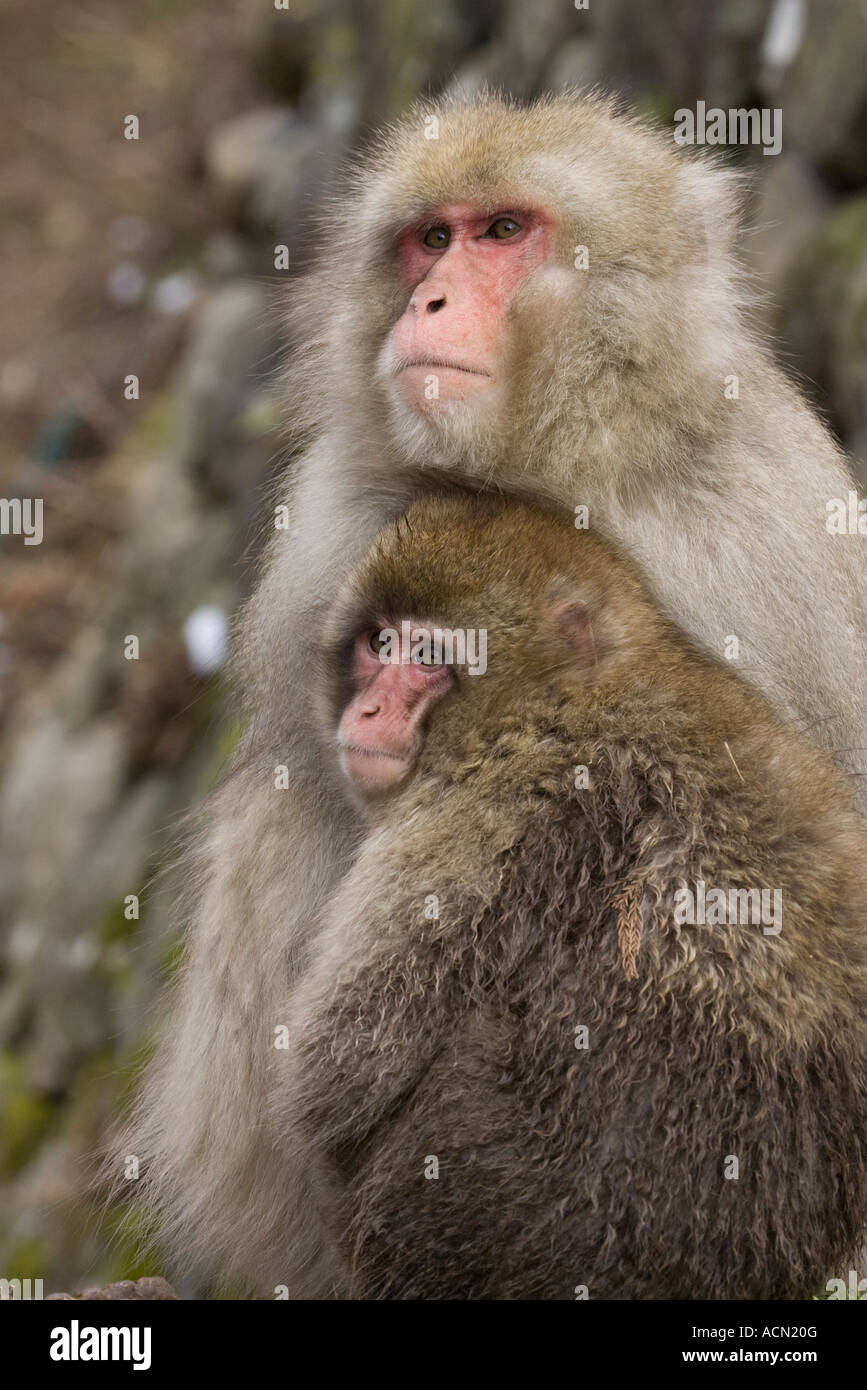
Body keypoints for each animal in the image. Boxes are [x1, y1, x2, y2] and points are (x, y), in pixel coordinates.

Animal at [279, 491, 867, 1301]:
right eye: (378, 641)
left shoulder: (484, 807)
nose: (367, 712)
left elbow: (338, 1074)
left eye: (426, 658)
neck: (572, 689)